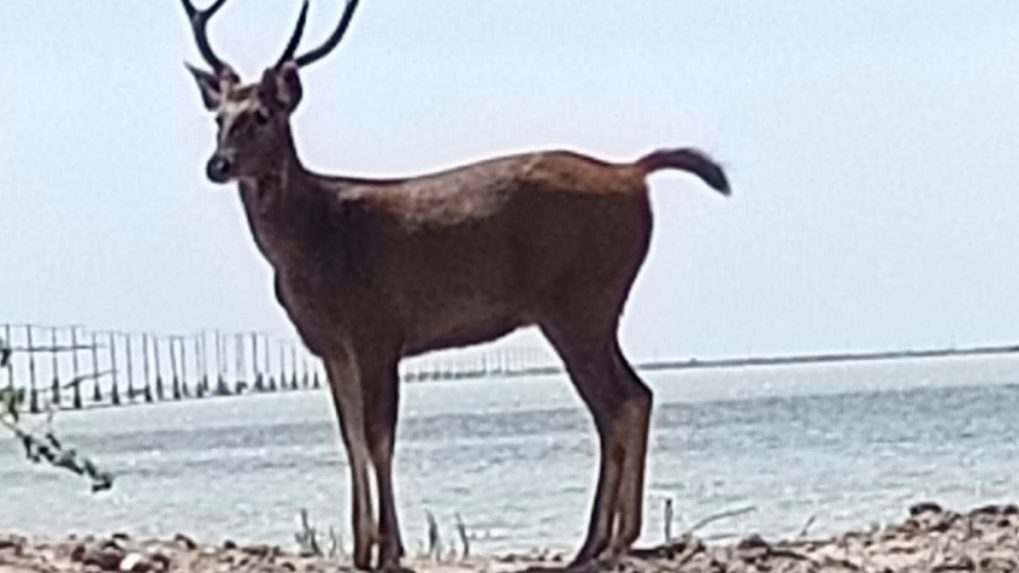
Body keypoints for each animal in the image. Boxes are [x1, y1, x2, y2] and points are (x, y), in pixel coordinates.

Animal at [178, 0, 730, 570]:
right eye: (218, 117)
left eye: (261, 115)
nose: (217, 164)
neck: (314, 241)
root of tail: (633, 173)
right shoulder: (331, 346)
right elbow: (350, 438)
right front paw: (360, 548)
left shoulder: (377, 328)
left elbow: (378, 437)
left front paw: (390, 549)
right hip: (594, 308)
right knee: (634, 397)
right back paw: (612, 538)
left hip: (580, 303)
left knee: (618, 403)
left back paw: (602, 541)